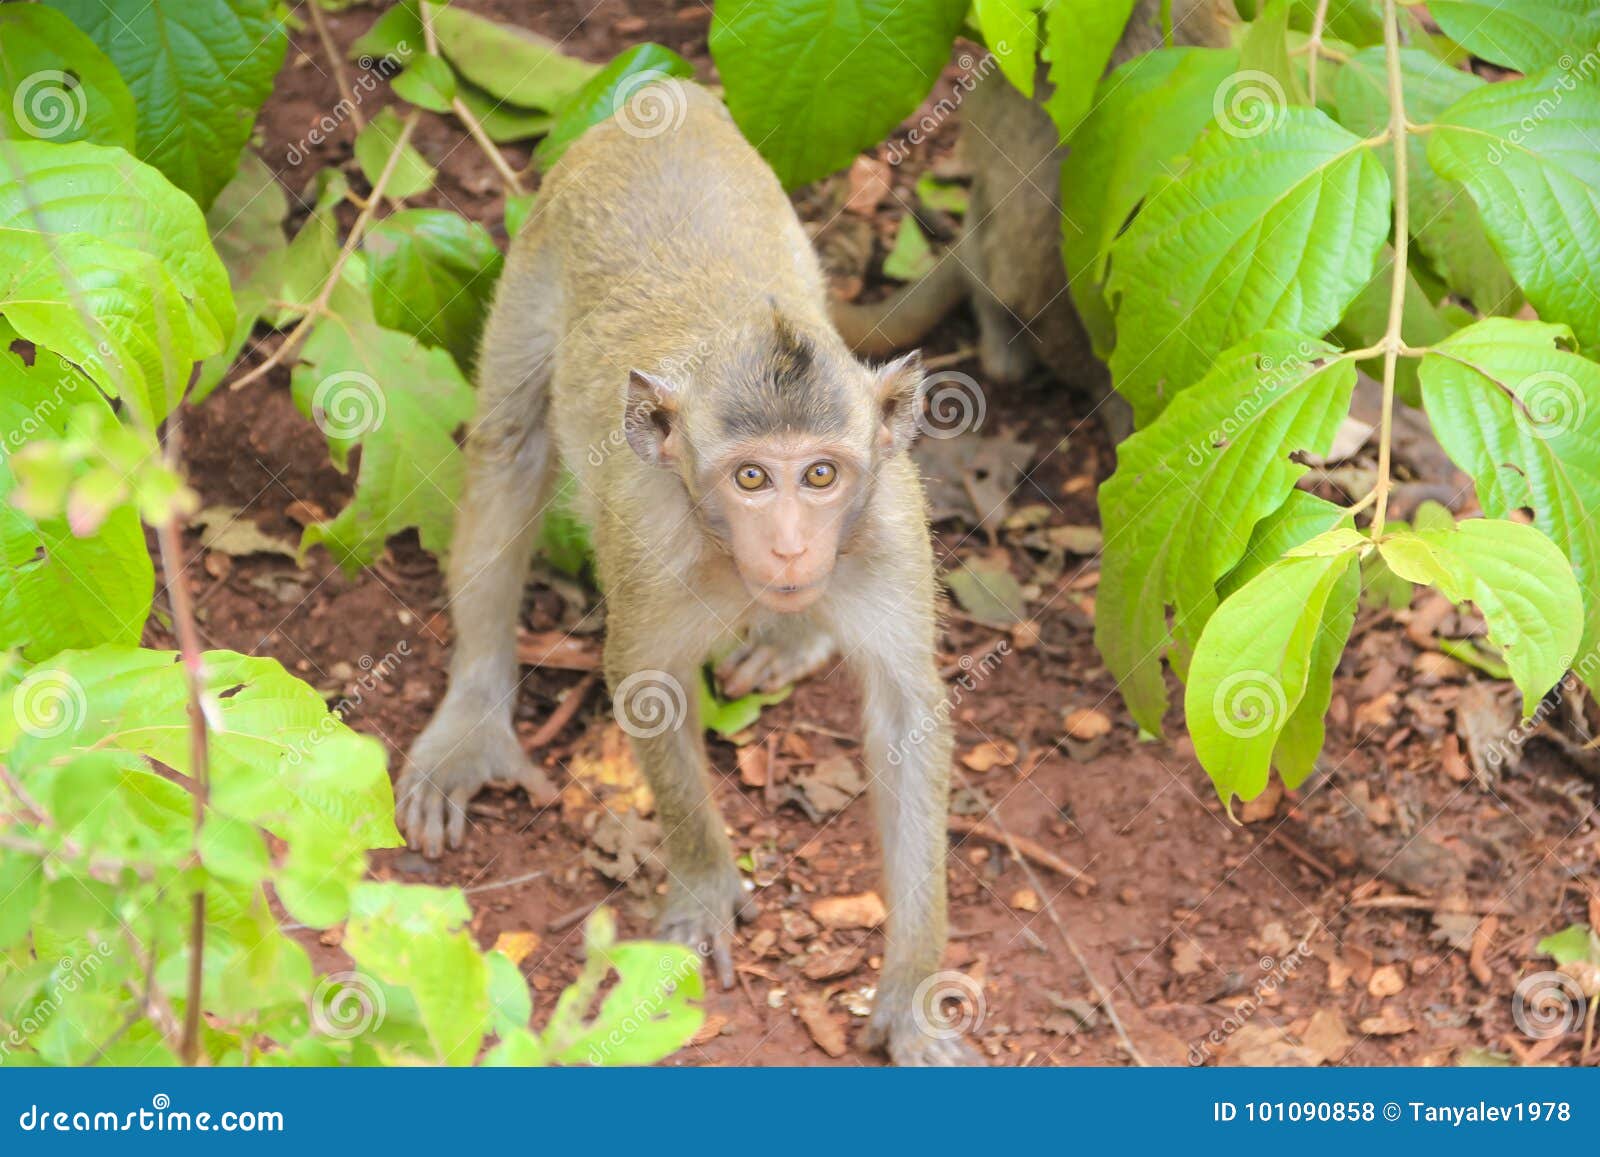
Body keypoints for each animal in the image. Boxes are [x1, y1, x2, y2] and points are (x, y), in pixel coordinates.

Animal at [396, 80, 971, 1065]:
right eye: (751, 478)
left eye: (822, 475)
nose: (791, 546)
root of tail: (670, 97)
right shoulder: (653, 546)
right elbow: (648, 678)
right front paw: (704, 885)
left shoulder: (892, 528)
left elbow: (907, 714)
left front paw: (911, 986)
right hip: (539, 249)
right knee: (512, 443)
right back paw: (473, 715)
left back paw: (791, 638)